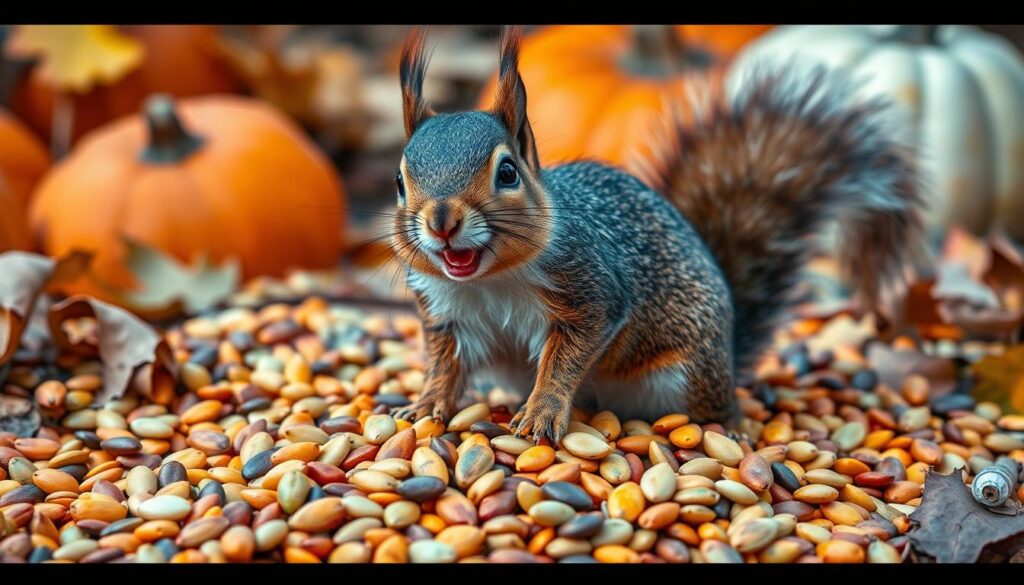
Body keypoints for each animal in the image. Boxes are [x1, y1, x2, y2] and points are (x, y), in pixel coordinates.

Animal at [390, 26, 926, 444]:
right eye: (398, 181)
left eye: (507, 173)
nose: (442, 221)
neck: (490, 279)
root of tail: (728, 357)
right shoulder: (445, 312)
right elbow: (444, 365)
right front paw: (424, 405)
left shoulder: (592, 289)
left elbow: (566, 360)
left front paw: (542, 411)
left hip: (685, 377)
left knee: (719, 409)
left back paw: (730, 430)